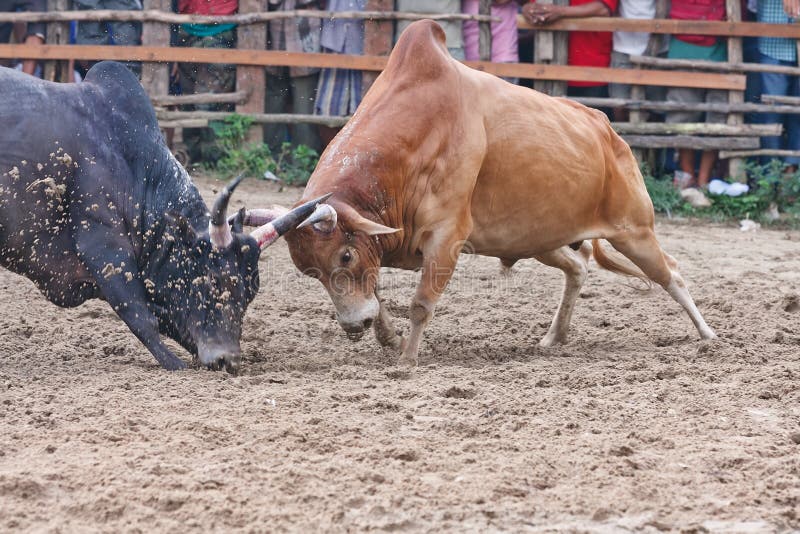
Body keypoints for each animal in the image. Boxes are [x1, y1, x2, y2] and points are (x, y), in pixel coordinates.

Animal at [0, 61, 327, 373]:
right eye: (215, 280)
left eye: (251, 291)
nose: (227, 361)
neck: (132, 167)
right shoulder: (103, 245)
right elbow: (140, 316)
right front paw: (176, 365)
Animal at [284, 20, 716, 366]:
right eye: (310, 270)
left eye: (344, 255)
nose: (353, 326)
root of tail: (606, 129)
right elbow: (376, 289)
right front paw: (388, 336)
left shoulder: (446, 239)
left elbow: (420, 304)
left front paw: (407, 358)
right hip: (543, 238)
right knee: (578, 268)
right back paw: (554, 336)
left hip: (634, 232)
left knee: (672, 274)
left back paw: (708, 336)